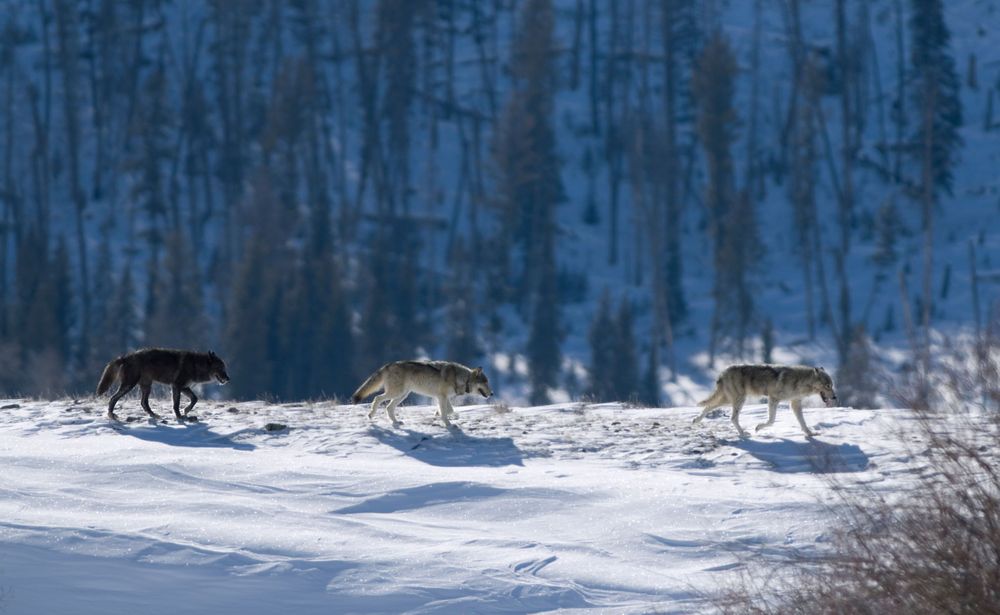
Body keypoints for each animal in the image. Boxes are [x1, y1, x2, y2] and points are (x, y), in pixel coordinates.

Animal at [96, 348, 230, 421]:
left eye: (225, 368)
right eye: (220, 368)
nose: (228, 379)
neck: (195, 365)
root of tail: (125, 357)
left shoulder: (184, 387)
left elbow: (195, 399)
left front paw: (186, 411)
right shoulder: (176, 386)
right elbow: (176, 405)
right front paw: (180, 417)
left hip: (146, 386)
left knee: (143, 403)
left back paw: (155, 416)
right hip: (129, 385)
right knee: (113, 398)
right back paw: (111, 415)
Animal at [351, 360, 493, 427]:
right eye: (485, 382)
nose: (492, 393)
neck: (462, 378)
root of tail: (388, 365)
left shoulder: (442, 397)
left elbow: (449, 410)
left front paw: (438, 414)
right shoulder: (441, 397)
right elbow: (447, 412)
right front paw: (449, 424)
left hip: (402, 395)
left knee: (388, 407)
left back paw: (396, 422)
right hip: (396, 393)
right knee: (377, 398)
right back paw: (371, 415)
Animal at [691, 364, 838, 437]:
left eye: (832, 385)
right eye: (827, 386)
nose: (835, 397)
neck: (800, 382)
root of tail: (722, 372)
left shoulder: (795, 403)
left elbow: (803, 423)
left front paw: (810, 434)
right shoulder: (773, 399)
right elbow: (771, 421)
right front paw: (758, 428)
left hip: (729, 400)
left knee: (708, 406)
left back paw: (696, 420)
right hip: (738, 400)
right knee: (732, 418)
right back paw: (743, 434)